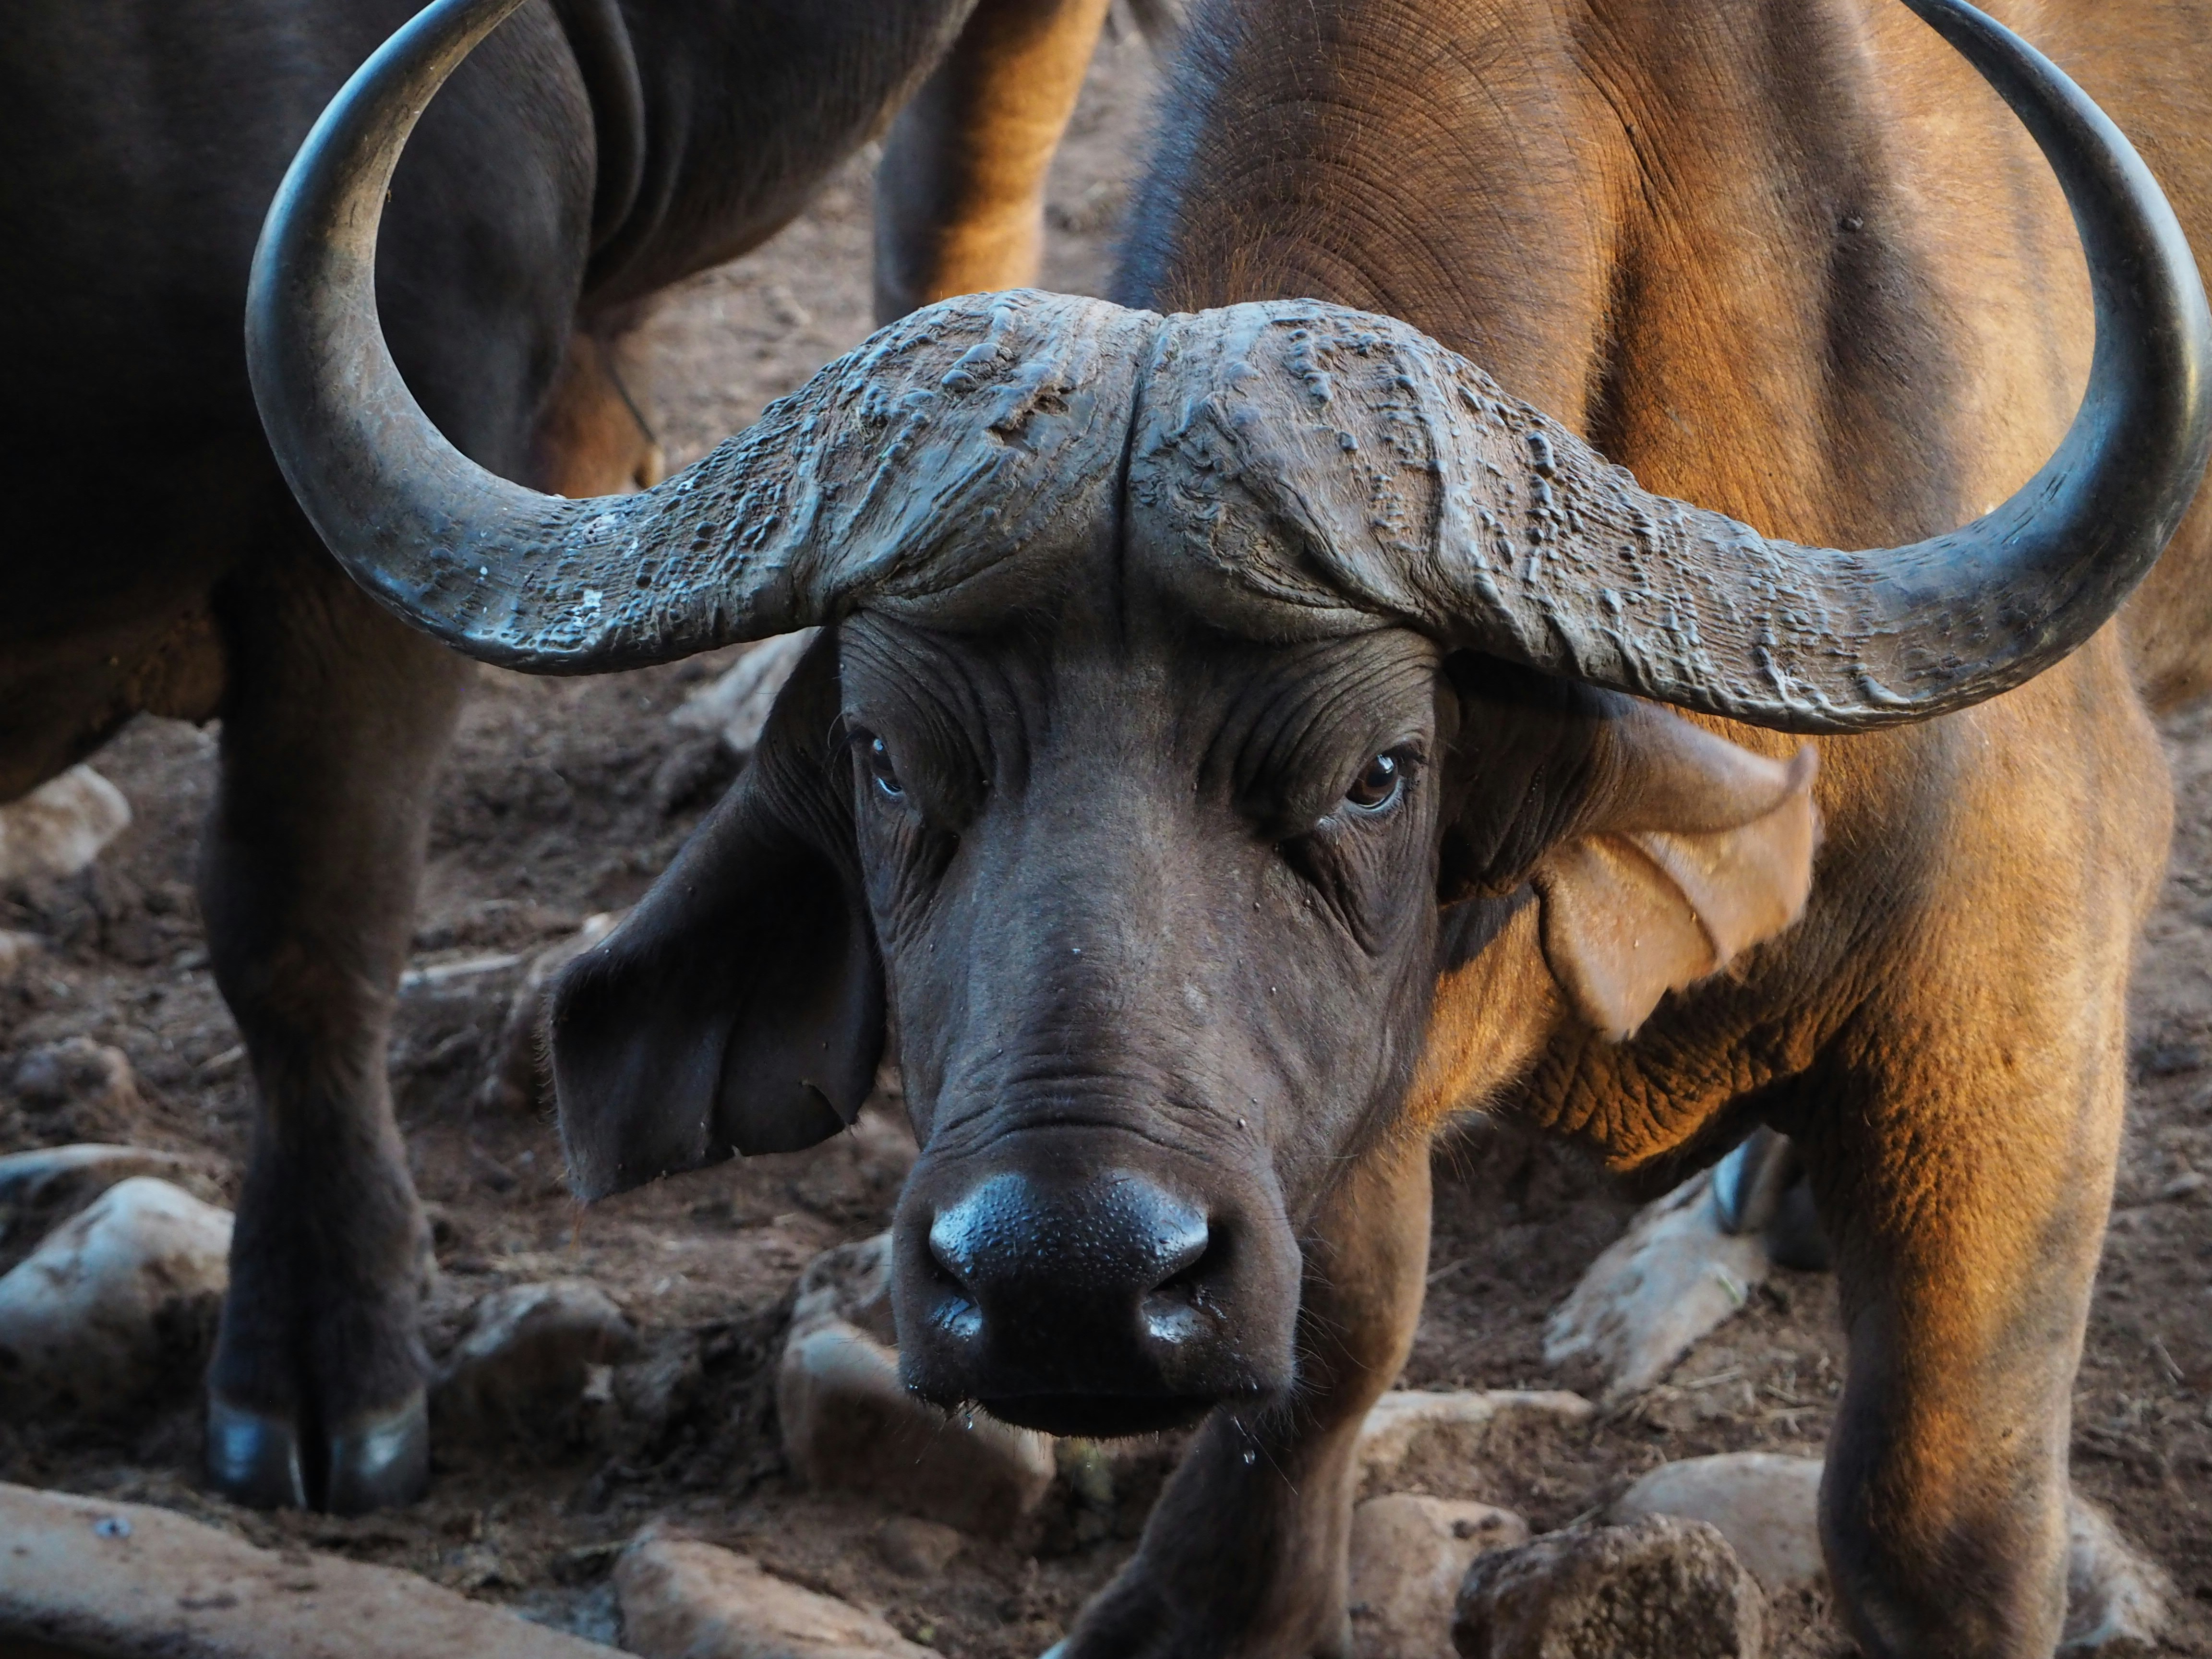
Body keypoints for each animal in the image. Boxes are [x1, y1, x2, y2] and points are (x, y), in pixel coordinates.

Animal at [248, 0, 2212, 1651]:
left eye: (1377, 771)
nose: (1060, 1280)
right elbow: (1327, 1338)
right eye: (886, 757)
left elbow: (1927, 1524)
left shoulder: (2013, 1046)